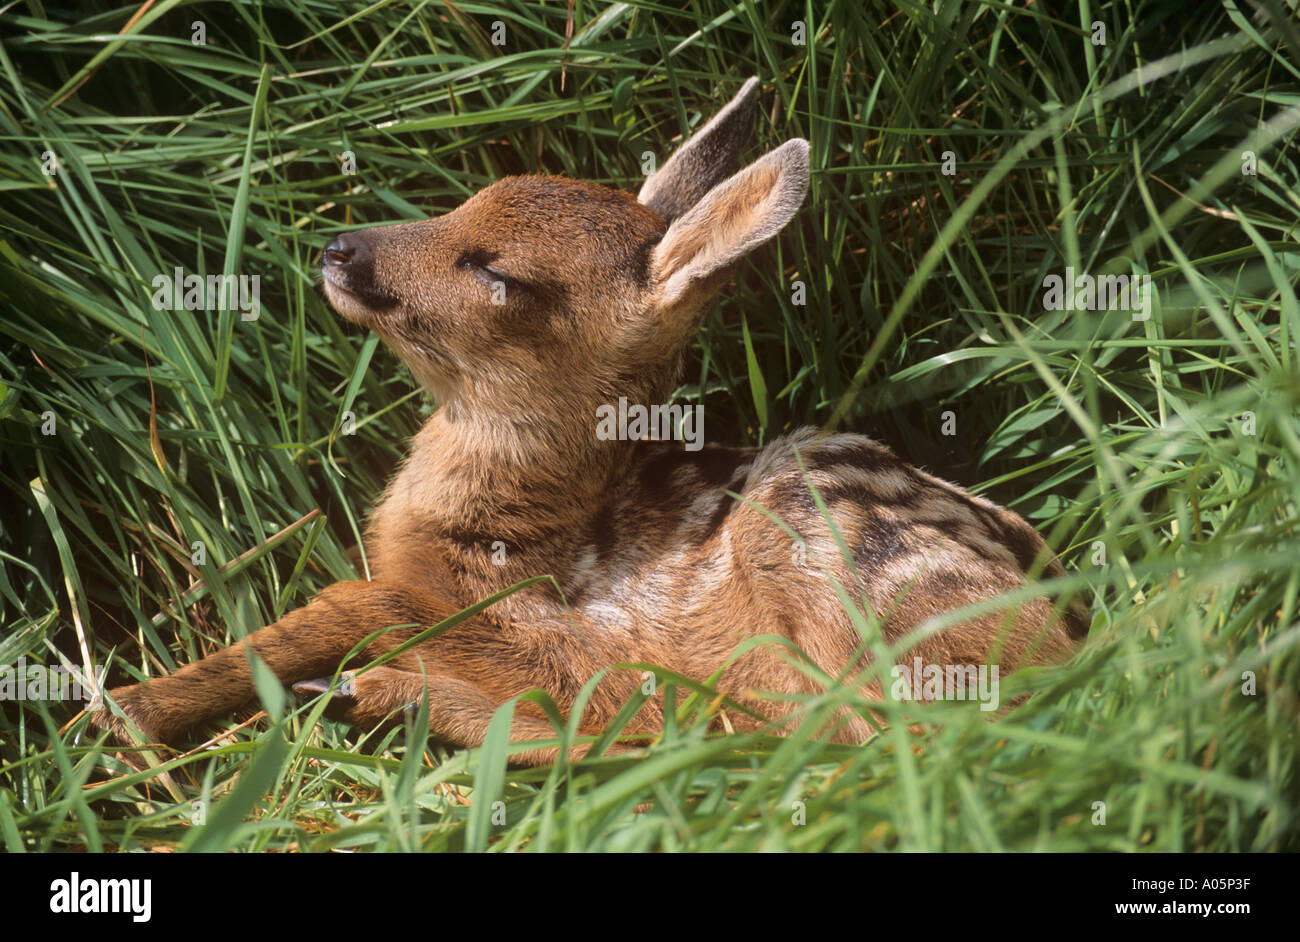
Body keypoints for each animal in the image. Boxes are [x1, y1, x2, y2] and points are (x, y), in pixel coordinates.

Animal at [91, 77, 1089, 767]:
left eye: (497, 270)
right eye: (469, 197)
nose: (342, 249)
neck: (516, 532)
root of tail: (1068, 625)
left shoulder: (543, 624)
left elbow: (336, 612)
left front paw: (124, 710)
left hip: (836, 547)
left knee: (828, 732)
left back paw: (369, 694)